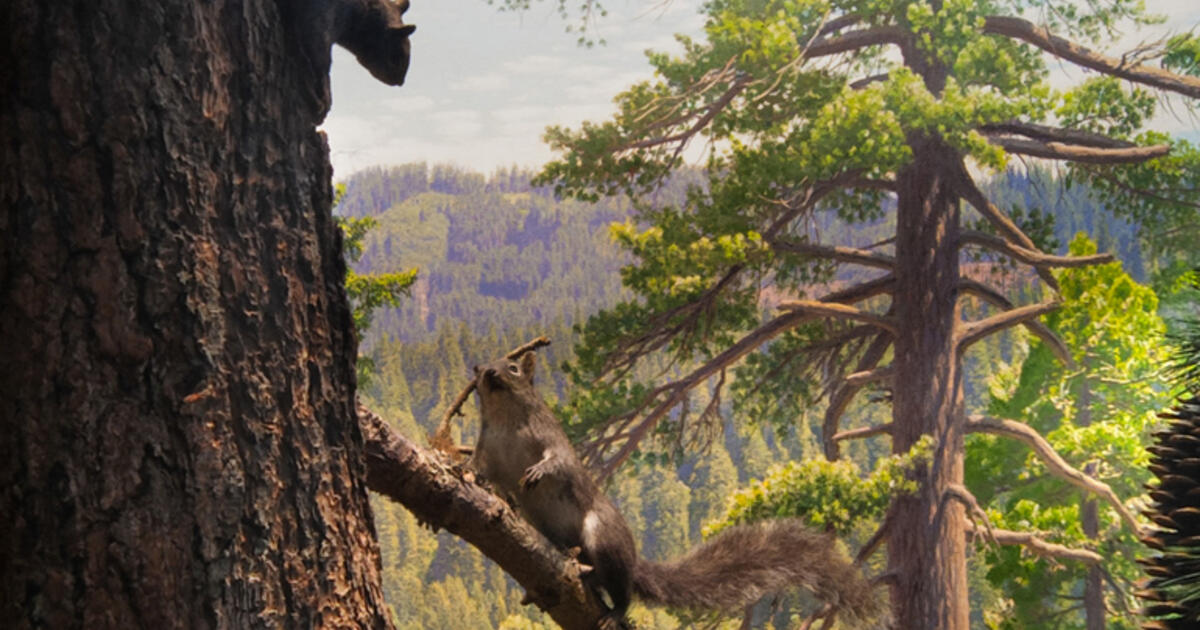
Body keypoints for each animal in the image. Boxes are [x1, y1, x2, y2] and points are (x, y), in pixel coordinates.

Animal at [471, 351, 883, 628]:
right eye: (480, 369)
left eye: (512, 368)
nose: (487, 372)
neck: (507, 421)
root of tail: (633, 560)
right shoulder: (487, 450)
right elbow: (483, 471)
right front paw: (478, 483)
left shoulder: (552, 438)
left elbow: (559, 461)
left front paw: (537, 471)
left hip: (603, 535)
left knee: (622, 589)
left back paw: (614, 609)